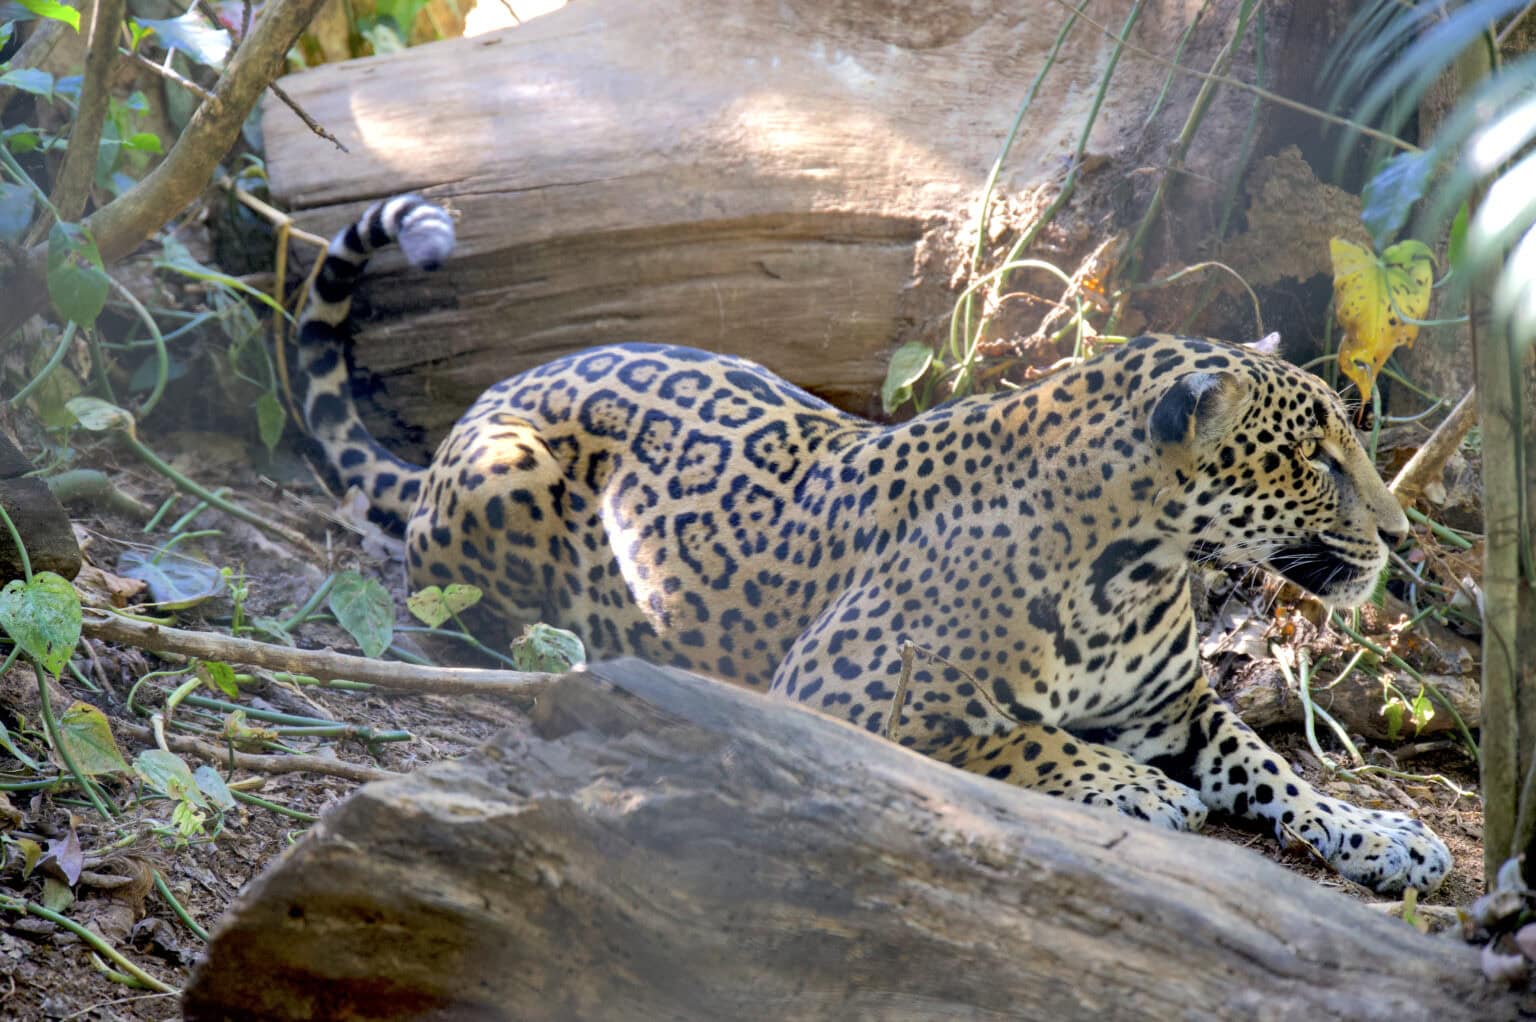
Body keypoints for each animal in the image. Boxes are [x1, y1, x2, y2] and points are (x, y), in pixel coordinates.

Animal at [297, 193, 1451, 894]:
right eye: (1315, 457)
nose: (1399, 535)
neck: (1138, 565)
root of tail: (484, 401)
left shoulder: (1178, 706)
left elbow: (1280, 772)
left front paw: (1385, 836)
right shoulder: (839, 695)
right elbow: (1003, 740)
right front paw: (1133, 788)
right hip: (506, 477)